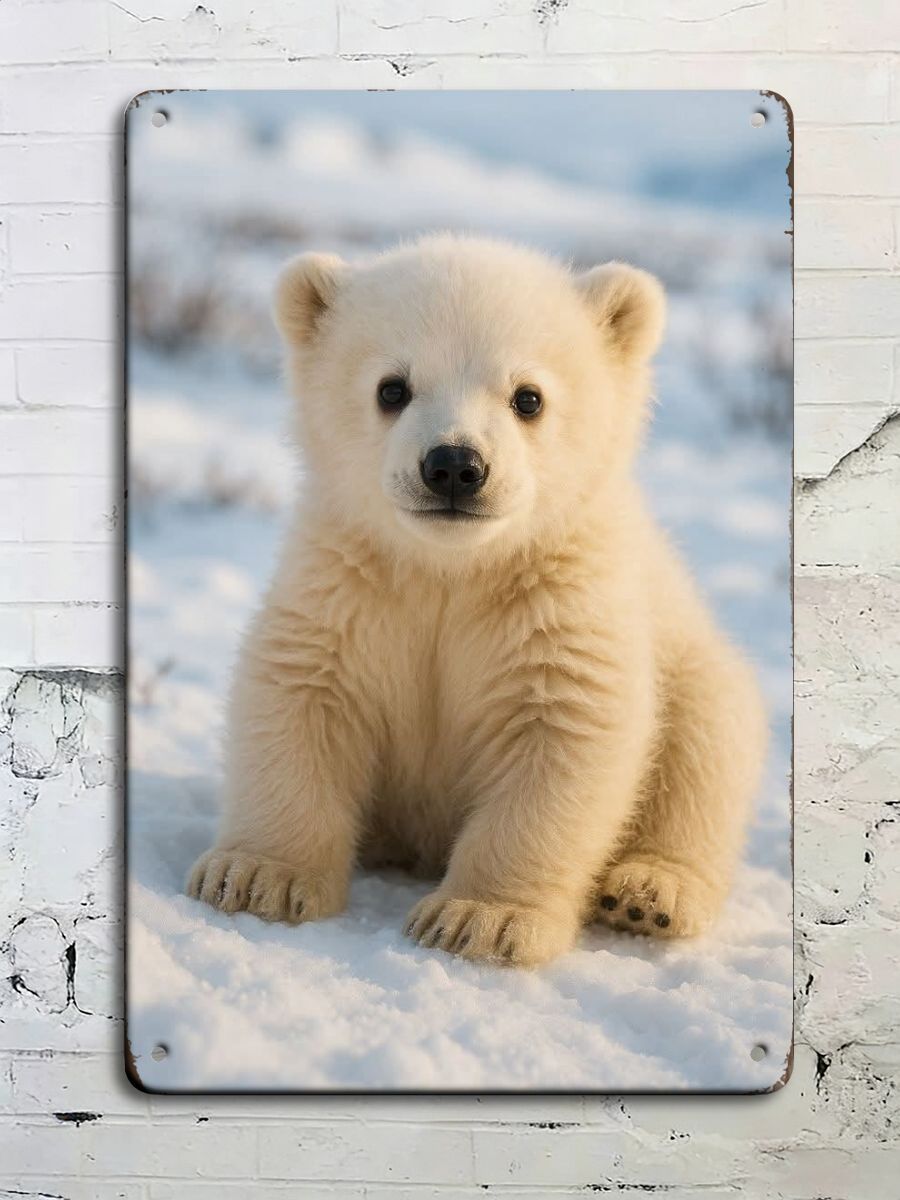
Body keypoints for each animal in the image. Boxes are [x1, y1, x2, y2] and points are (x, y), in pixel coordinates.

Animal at [186, 234, 768, 967]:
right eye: (392, 388)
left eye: (529, 397)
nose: (454, 466)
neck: (452, 570)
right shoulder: (351, 587)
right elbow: (299, 695)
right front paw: (255, 875)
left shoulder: (559, 605)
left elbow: (564, 733)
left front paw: (480, 920)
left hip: (693, 663)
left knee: (706, 746)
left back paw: (648, 892)